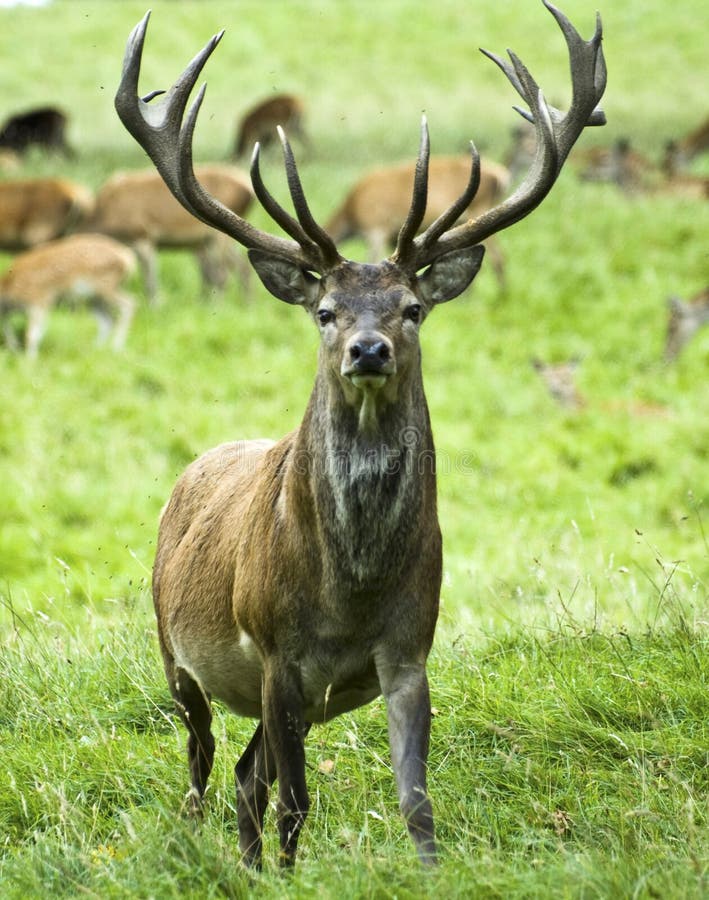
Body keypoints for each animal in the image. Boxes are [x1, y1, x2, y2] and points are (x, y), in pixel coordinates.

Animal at [0, 233, 136, 358]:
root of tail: (127, 258)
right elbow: (7, 325)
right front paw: (14, 349)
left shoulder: (40, 299)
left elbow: (33, 333)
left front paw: (30, 360)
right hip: (94, 297)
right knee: (107, 320)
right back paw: (95, 350)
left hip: (106, 287)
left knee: (129, 303)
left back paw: (116, 347)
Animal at [87, 164, 254, 303]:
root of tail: (247, 188)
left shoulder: (143, 235)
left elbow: (150, 279)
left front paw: (154, 304)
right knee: (239, 267)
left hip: (219, 237)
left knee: (221, 273)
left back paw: (218, 304)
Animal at [325, 155, 511, 286]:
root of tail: (502, 176)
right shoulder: (391, 235)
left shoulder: (376, 227)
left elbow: (372, 258)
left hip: (480, 207)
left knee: (498, 257)